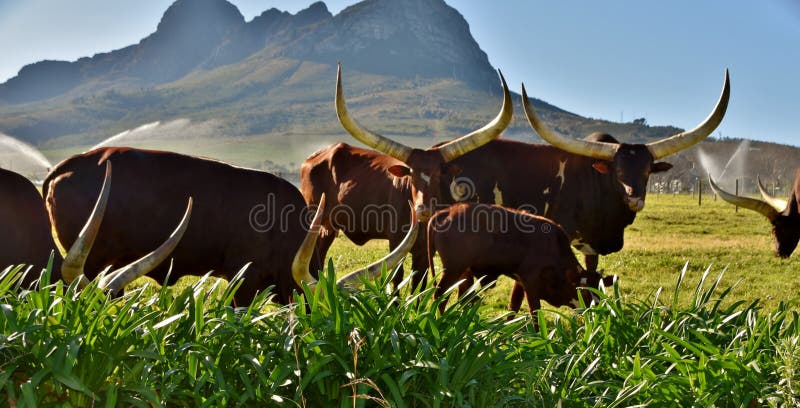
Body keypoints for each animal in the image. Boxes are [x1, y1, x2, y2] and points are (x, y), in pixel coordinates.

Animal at [427, 202, 615, 317]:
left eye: (601, 289)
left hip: (464, 271)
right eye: (584, 291)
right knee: (440, 295)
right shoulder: (530, 281)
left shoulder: (520, 280)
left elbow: (513, 308)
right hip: (453, 269)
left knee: (463, 297)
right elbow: (535, 312)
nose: (598, 308)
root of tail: (448, 211)